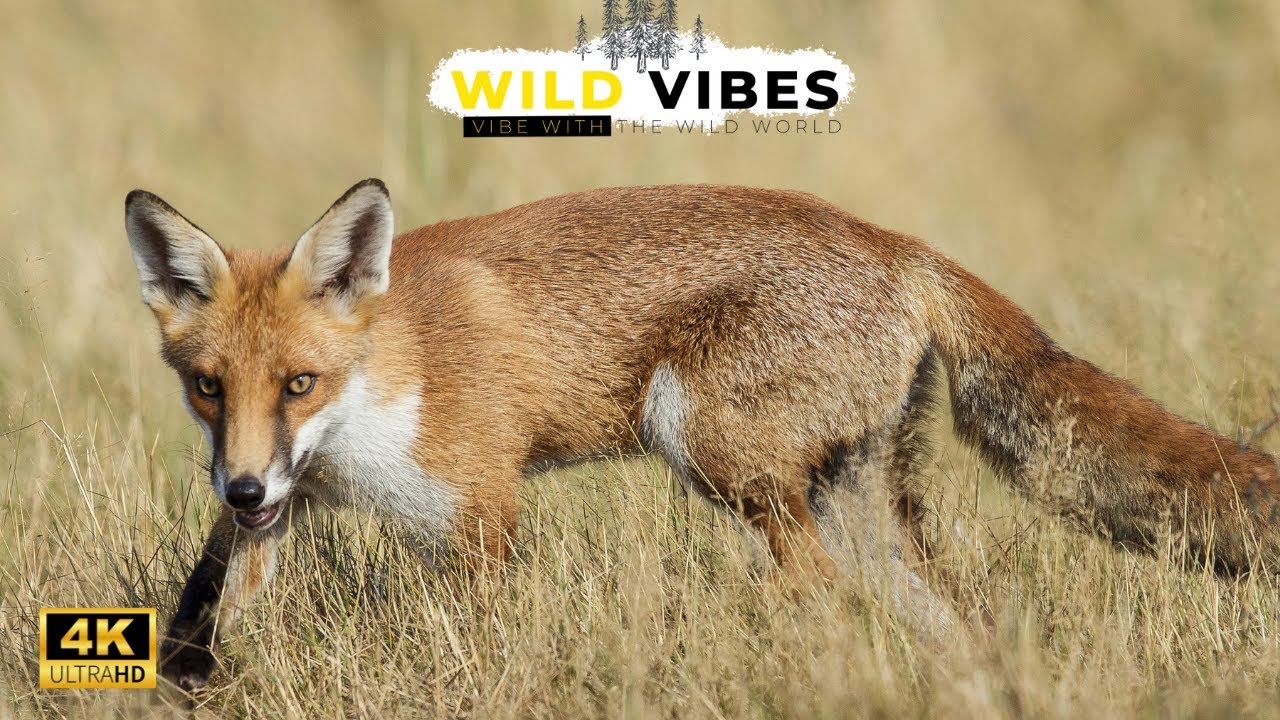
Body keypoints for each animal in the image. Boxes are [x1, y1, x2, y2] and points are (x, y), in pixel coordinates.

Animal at [124, 179, 1280, 692]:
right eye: (209, 389)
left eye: (300, 382)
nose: (239, 488)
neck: (375, 396)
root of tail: (899, 244)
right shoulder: (278, 517)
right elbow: (222, 618)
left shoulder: (481, 507)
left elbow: (482, 644)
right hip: (854, 505)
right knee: (954, 619)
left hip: (711, 447)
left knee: (809, 584)